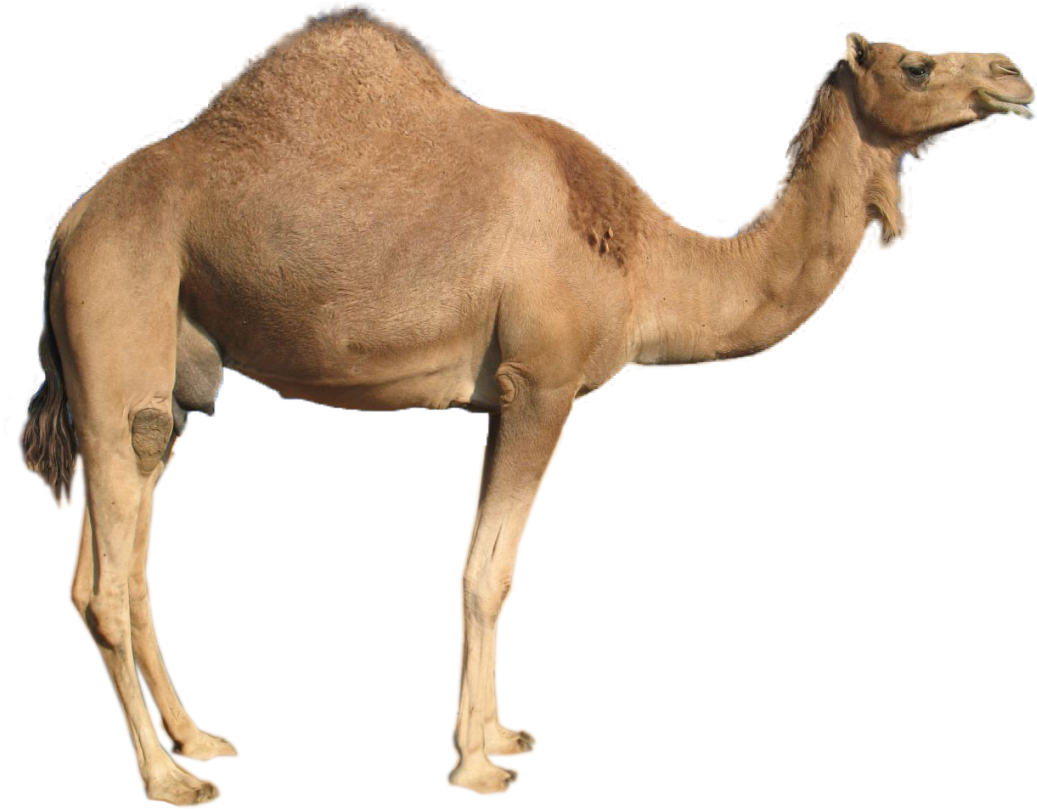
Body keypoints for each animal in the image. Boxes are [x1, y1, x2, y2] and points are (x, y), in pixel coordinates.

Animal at [17, 4, 1035, 805]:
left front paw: (499, 735)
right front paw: (478, 763)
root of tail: (68, 228)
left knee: (117, 556)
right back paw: (171, 779)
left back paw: (199, 738)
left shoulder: (510, 395)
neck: (650, 260)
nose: (1013, 74)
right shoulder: (537, 385)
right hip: (119, 326)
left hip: (161, 384)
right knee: (105, 583)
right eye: (915, 63)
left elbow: (486, 568)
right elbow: (488, 573)